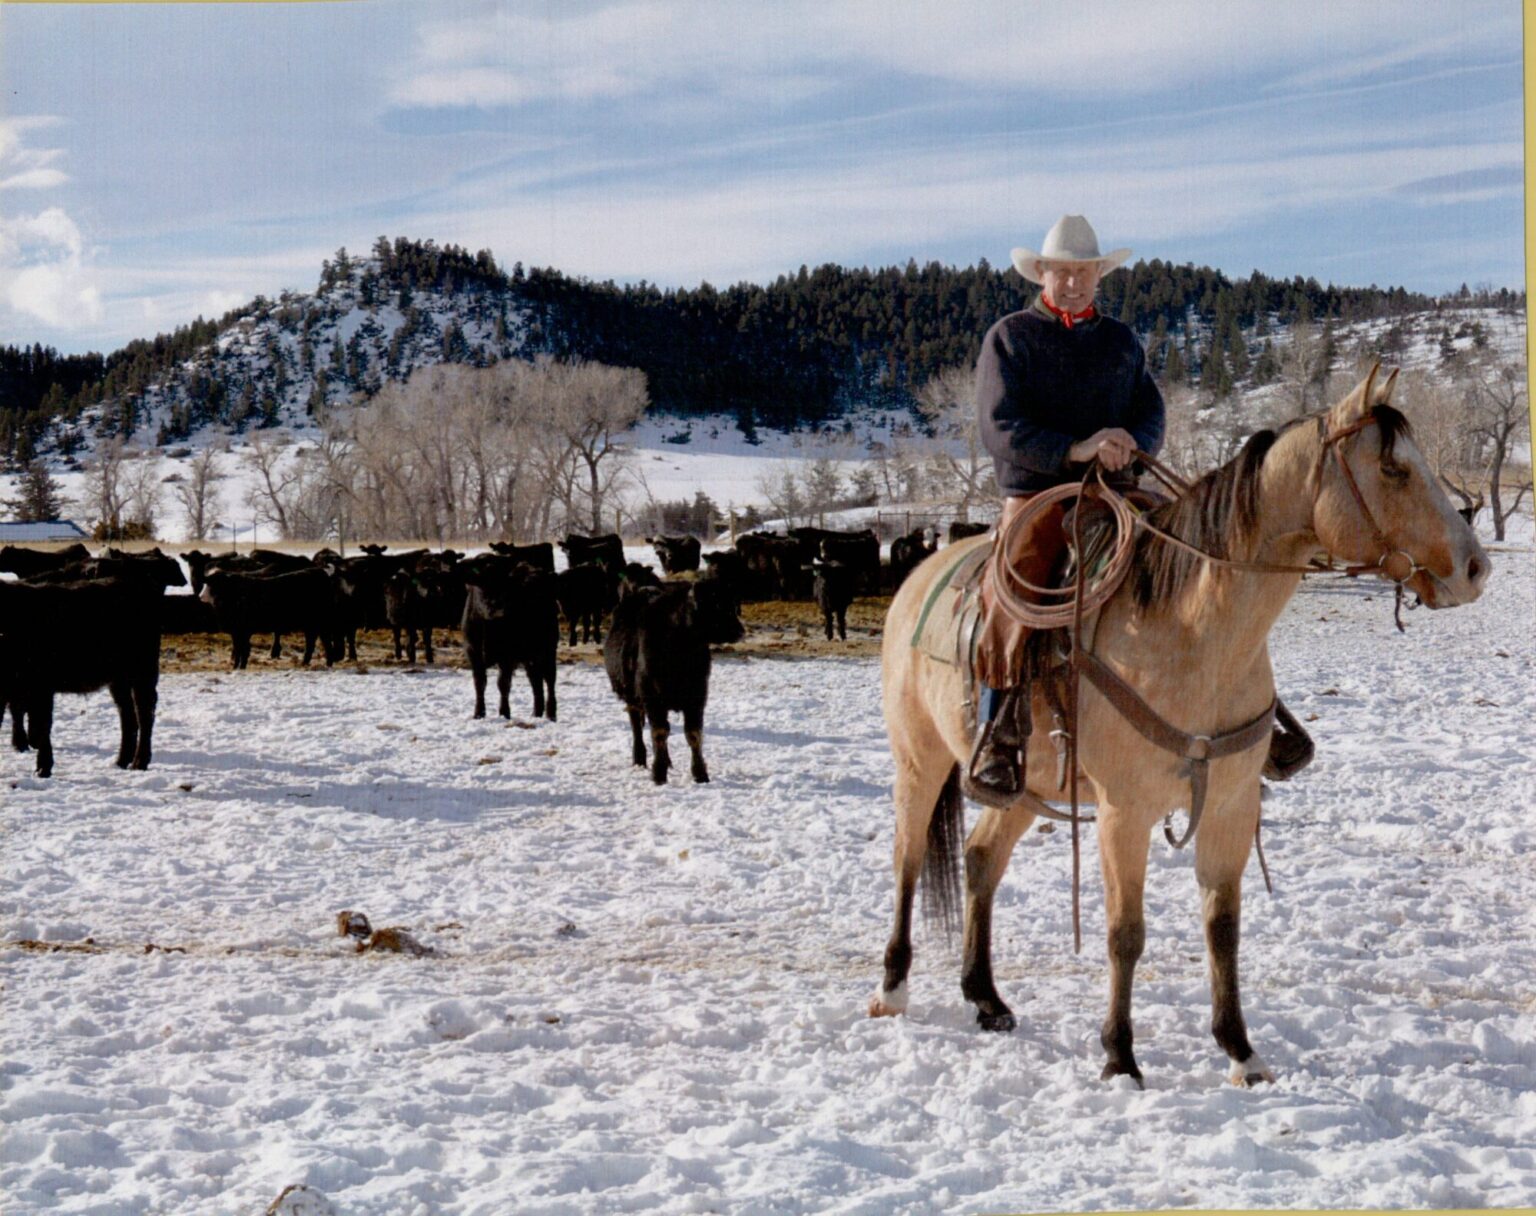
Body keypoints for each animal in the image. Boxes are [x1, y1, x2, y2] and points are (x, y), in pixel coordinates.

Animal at [869, 365, 1490, 1087]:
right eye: (1393, 468)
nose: (1475, 569)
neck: (1192, 633)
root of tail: (916, 577)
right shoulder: (1124, 812)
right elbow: (1125, 933)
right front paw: (1119, 1057)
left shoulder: (1230, 804)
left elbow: (1222, 926)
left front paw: (1241, 1051)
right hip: (919, 759)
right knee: (908, 859)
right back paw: (892, 988)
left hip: (1027, 786)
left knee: (979, 858)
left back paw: (986, 998)